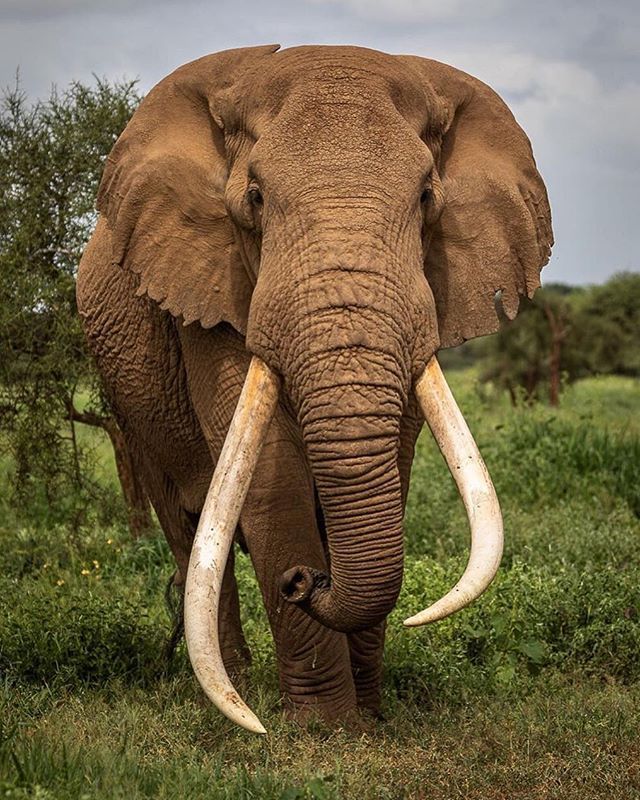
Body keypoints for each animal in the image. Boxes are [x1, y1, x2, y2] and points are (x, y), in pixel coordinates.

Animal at [77, 44, 552, 734]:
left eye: (427, 198)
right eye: (254, 198)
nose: (303, 582)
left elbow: (395, 459)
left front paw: (368, 717)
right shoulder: (212, 286)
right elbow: (271, 472)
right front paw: (322, 730)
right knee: (189, 530)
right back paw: (238, 684)